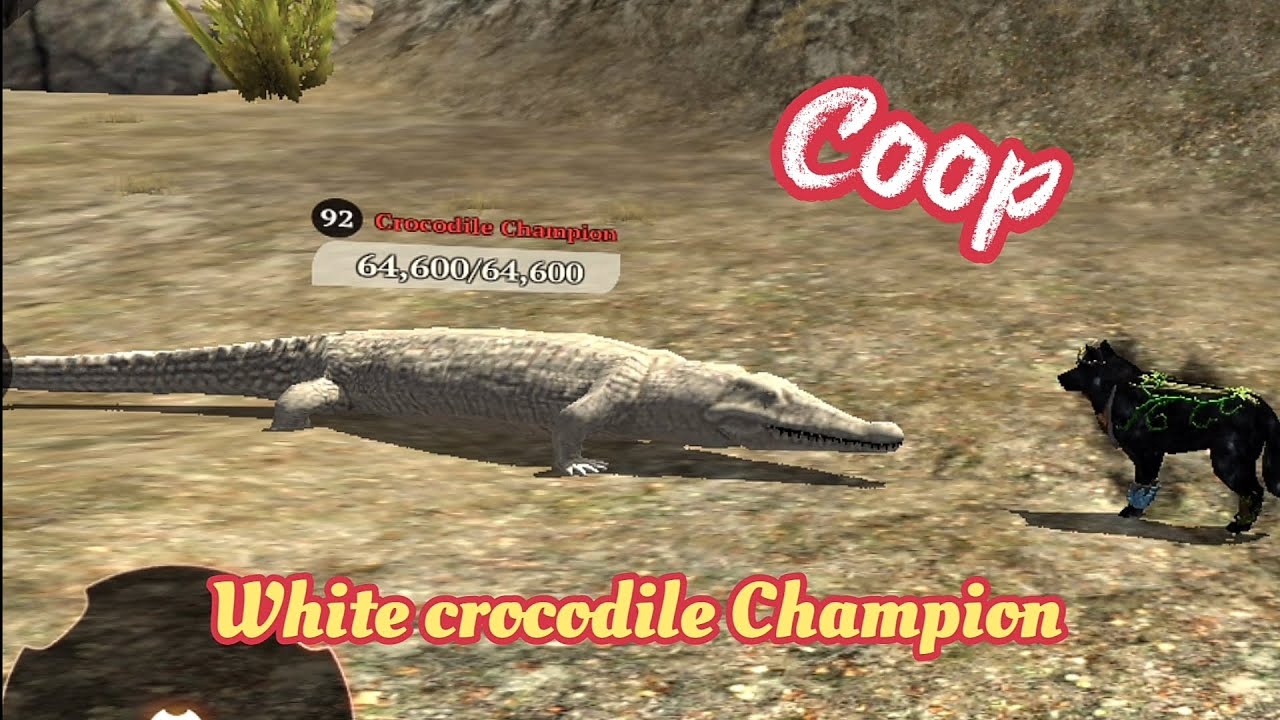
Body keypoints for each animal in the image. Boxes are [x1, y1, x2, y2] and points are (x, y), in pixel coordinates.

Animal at [1057, 340, 1279, 533]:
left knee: (1254, 492)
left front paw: (1131, 512)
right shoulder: (1150, 455)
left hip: (1229, 463)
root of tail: (1262, 406)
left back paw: (1240, 526)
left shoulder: (1147, 455)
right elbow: (1145, 484)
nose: (1059, 377)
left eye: (1081, 367)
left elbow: (1143, 483)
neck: (1120, 386)